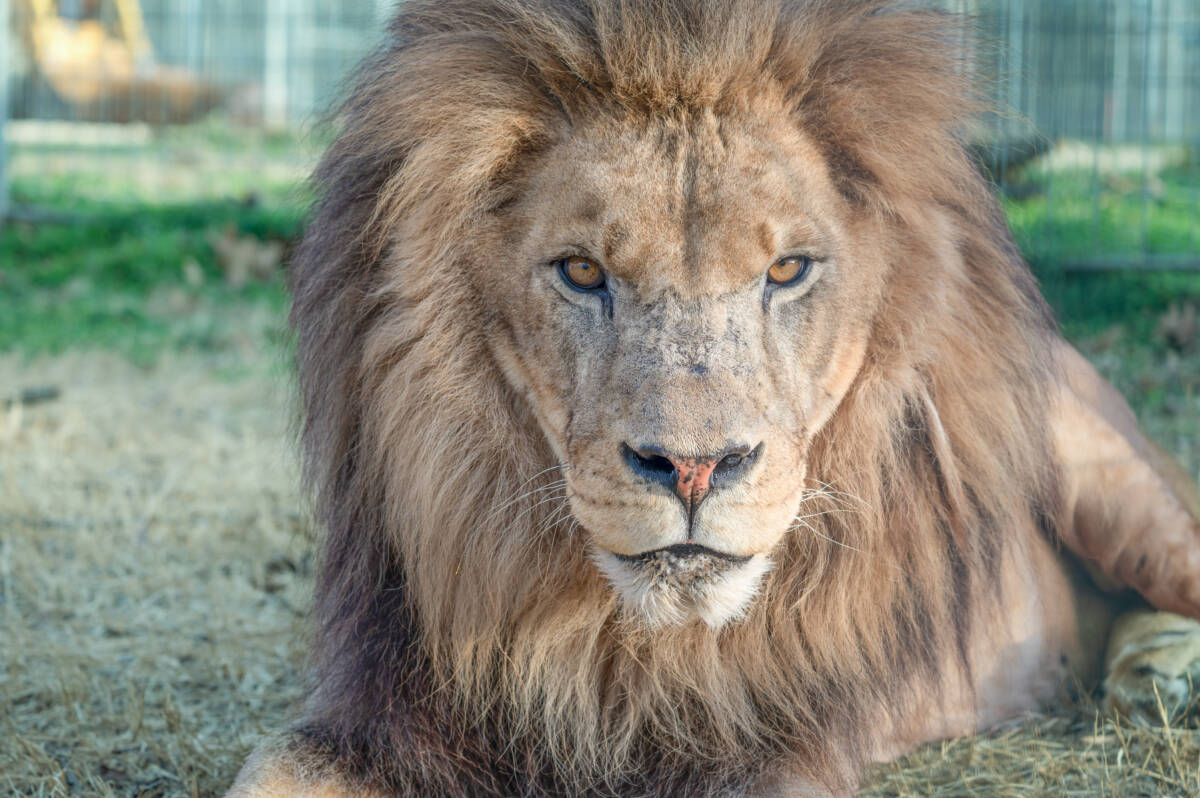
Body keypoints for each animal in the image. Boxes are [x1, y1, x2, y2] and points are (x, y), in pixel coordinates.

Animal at [228, 1, 1200, 795]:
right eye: (583, 272)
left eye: (788, 270)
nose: (694, 469)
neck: (624, 645)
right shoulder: (392, 713)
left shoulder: (773, 748)